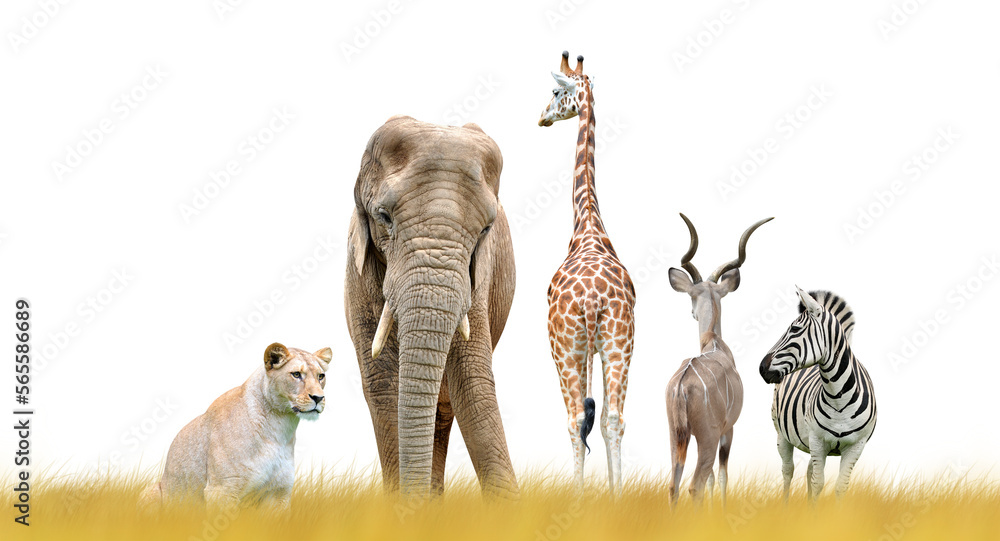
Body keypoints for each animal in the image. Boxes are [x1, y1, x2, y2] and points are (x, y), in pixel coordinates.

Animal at [140, 342, 331, 512]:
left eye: (321, 376)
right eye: (296, 374)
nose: (318, 398)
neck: (280, 427)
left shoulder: (279, 492)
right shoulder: (222, 489)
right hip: (152, 492)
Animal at [344, 115, 519, 498]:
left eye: (485, 230)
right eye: (384, 217)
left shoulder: (478, 278)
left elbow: (472, 382)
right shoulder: (358, 272)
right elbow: (383, 384)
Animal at [759, 287, 877, 501]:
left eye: (795, 329)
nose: (761, 368)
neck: (839, 397)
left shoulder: (856, 446)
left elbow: (840, 486)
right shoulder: (817, 441)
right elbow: (817, 484)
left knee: (808, 471)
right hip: (782, 435)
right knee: (788, 471)